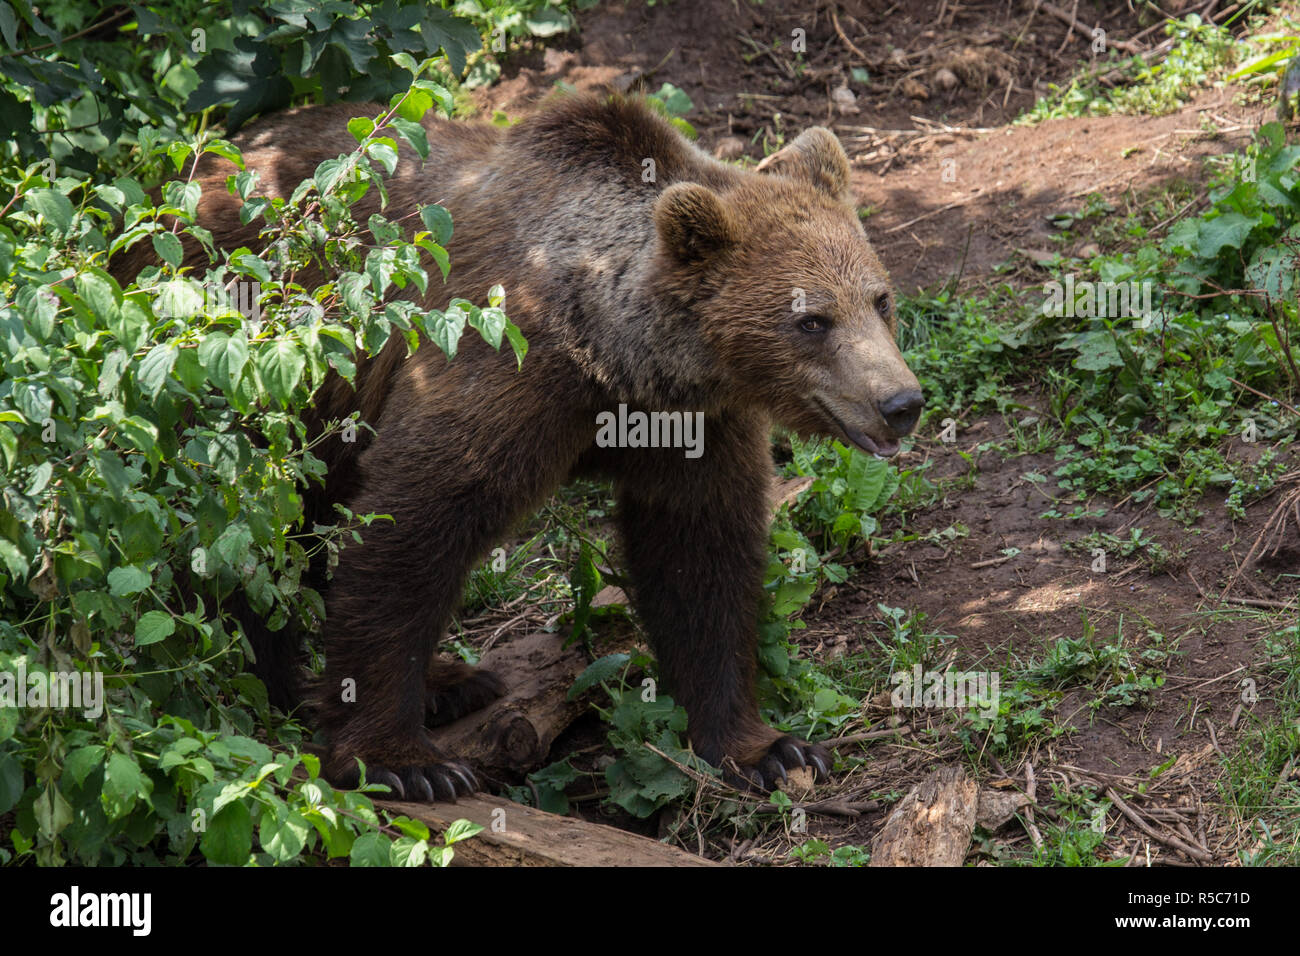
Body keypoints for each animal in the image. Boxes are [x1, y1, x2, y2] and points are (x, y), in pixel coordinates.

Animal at [124, 92, 924, 801]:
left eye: (879, 299)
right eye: (812, 321)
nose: (902, 402)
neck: (612, 354)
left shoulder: (693, 423)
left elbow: (702, 556)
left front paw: (765, 747)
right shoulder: (499, 361)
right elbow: (410, 526)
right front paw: (405, 763)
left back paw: (450, 682)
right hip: (242, 356)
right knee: (248, 530)